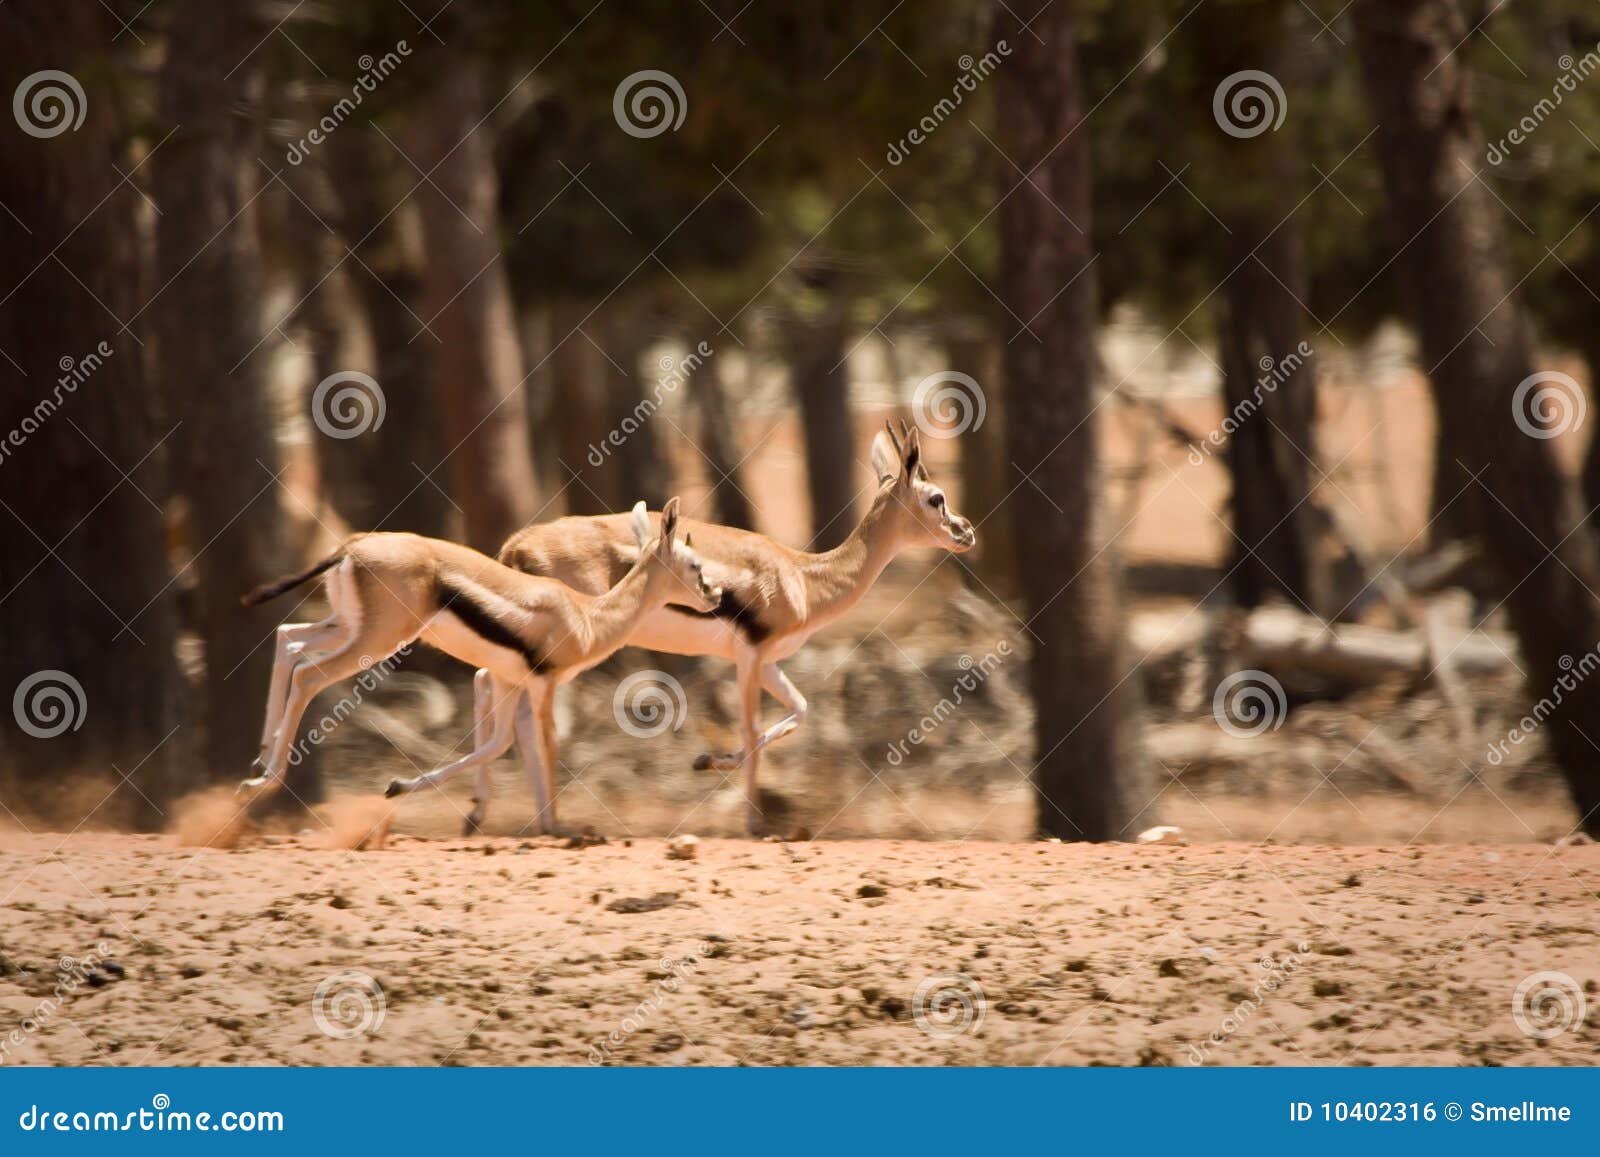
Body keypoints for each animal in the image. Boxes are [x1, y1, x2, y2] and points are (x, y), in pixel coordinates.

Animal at [235, 498, 721, 825]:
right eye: (695, 564)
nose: (715, 595)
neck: (587, 616)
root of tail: (351, 548)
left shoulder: (508, 680)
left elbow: (497, 742)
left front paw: (399, 787)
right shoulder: (544, 685)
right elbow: (546, 743)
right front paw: (558, 827)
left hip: (347, 626)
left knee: (289, 641)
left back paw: (259, 760)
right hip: (377, 640)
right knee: (308, 675)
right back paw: (262, 782)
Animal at [482, 422, 975, 835]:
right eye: (936, 498)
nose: (966, 531)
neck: (804, 578)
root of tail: (517, 545)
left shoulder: (768, 661)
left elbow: (799, 711)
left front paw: (706, 763)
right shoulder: (750, 656)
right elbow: (751, 728)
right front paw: (754, 824)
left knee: (500, 692)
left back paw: (513, 818)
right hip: (562, 653)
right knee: (510, 700)